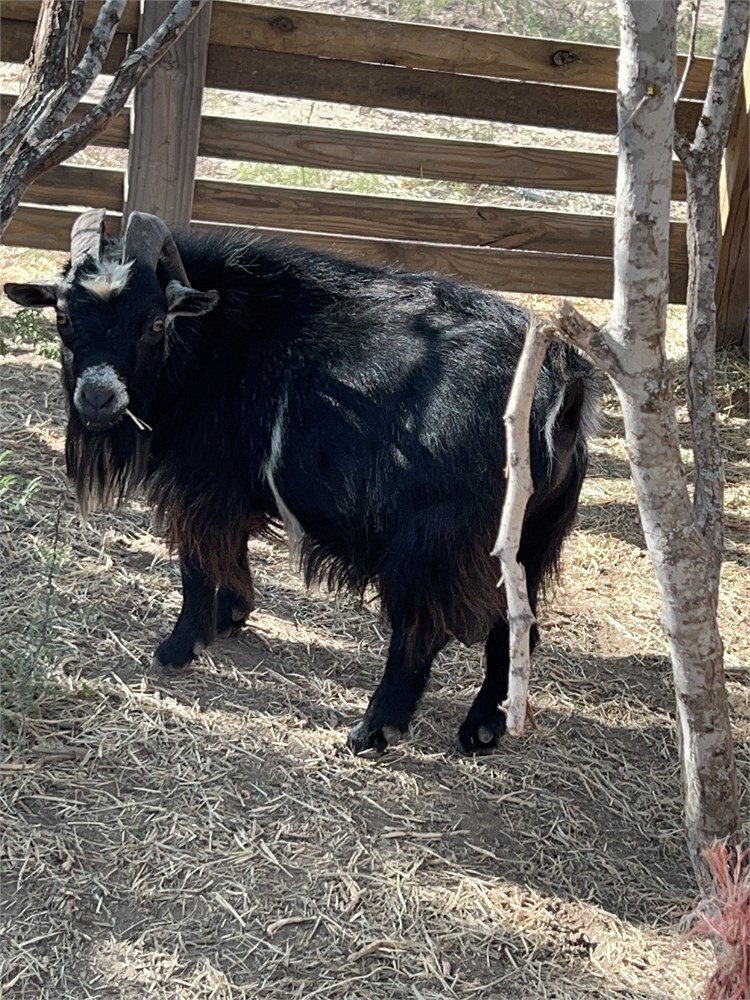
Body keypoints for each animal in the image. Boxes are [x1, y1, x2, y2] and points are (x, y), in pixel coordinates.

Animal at [5, 209, 598, 754]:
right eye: (63, 316)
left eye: (154, 322)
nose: (98, 398)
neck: (216, 339)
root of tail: (560, 387)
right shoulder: (233, 490)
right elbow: (231, 552)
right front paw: (232, 613)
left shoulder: (202, 485)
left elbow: (198, 563)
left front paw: (180, 647)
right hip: (526, 541)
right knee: (518, 626)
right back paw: (484, 725)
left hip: (434, 543)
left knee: (421, 631)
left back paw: (375, 729)